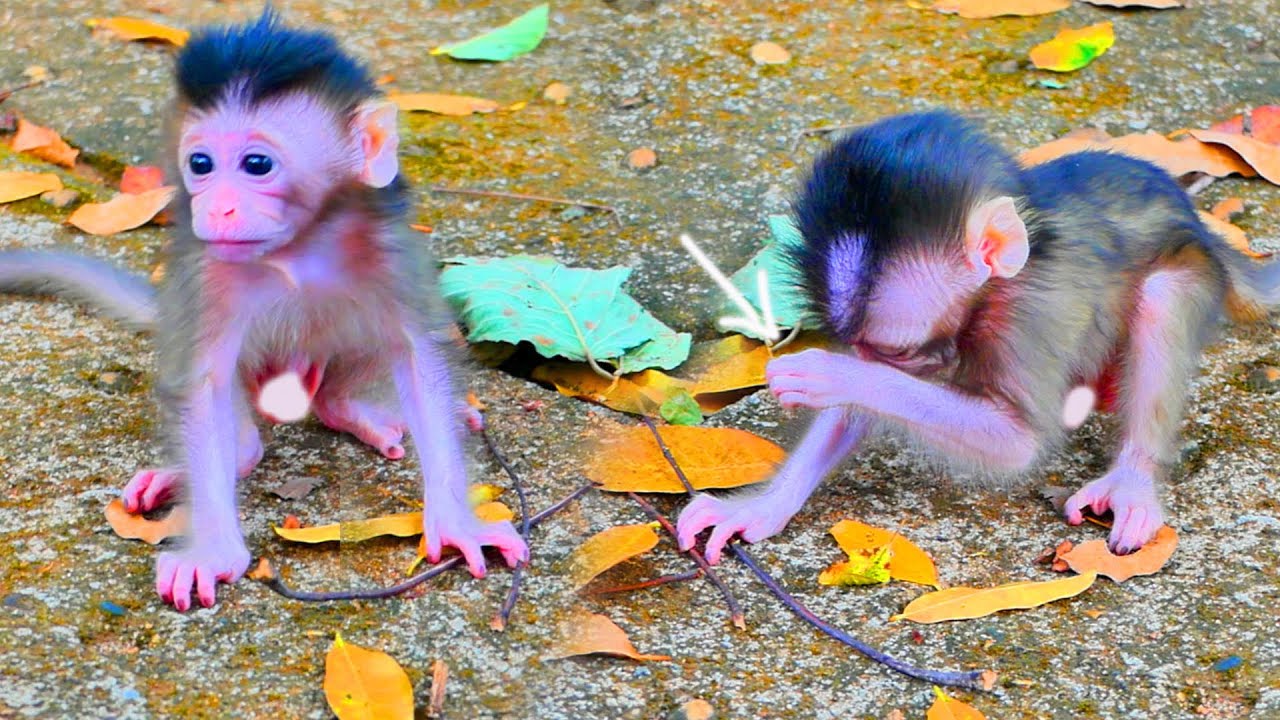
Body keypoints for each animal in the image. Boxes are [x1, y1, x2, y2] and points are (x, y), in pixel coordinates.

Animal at [0, 11, 526, 610]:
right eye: (200, 164)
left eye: (256, 164)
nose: (216, 207)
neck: (298, 247)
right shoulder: (213, 276)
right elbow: (204, 384)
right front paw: (212, 551)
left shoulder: (388, 251)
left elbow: (417, 355)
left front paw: (457, 521)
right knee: (240, 433)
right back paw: (208, 465)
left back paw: (352, 409)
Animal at [677, 110, 1280, 564]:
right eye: (875, 352)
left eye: (896, 351)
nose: (873, 362)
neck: (997, 286)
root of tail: (1201, 222)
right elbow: (854, 413)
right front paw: (759, 508)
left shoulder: (1027, 321)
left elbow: (1019, 443)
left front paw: (831, 374)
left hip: (1195, 270)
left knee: (1161, 298)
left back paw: (1133, 476)